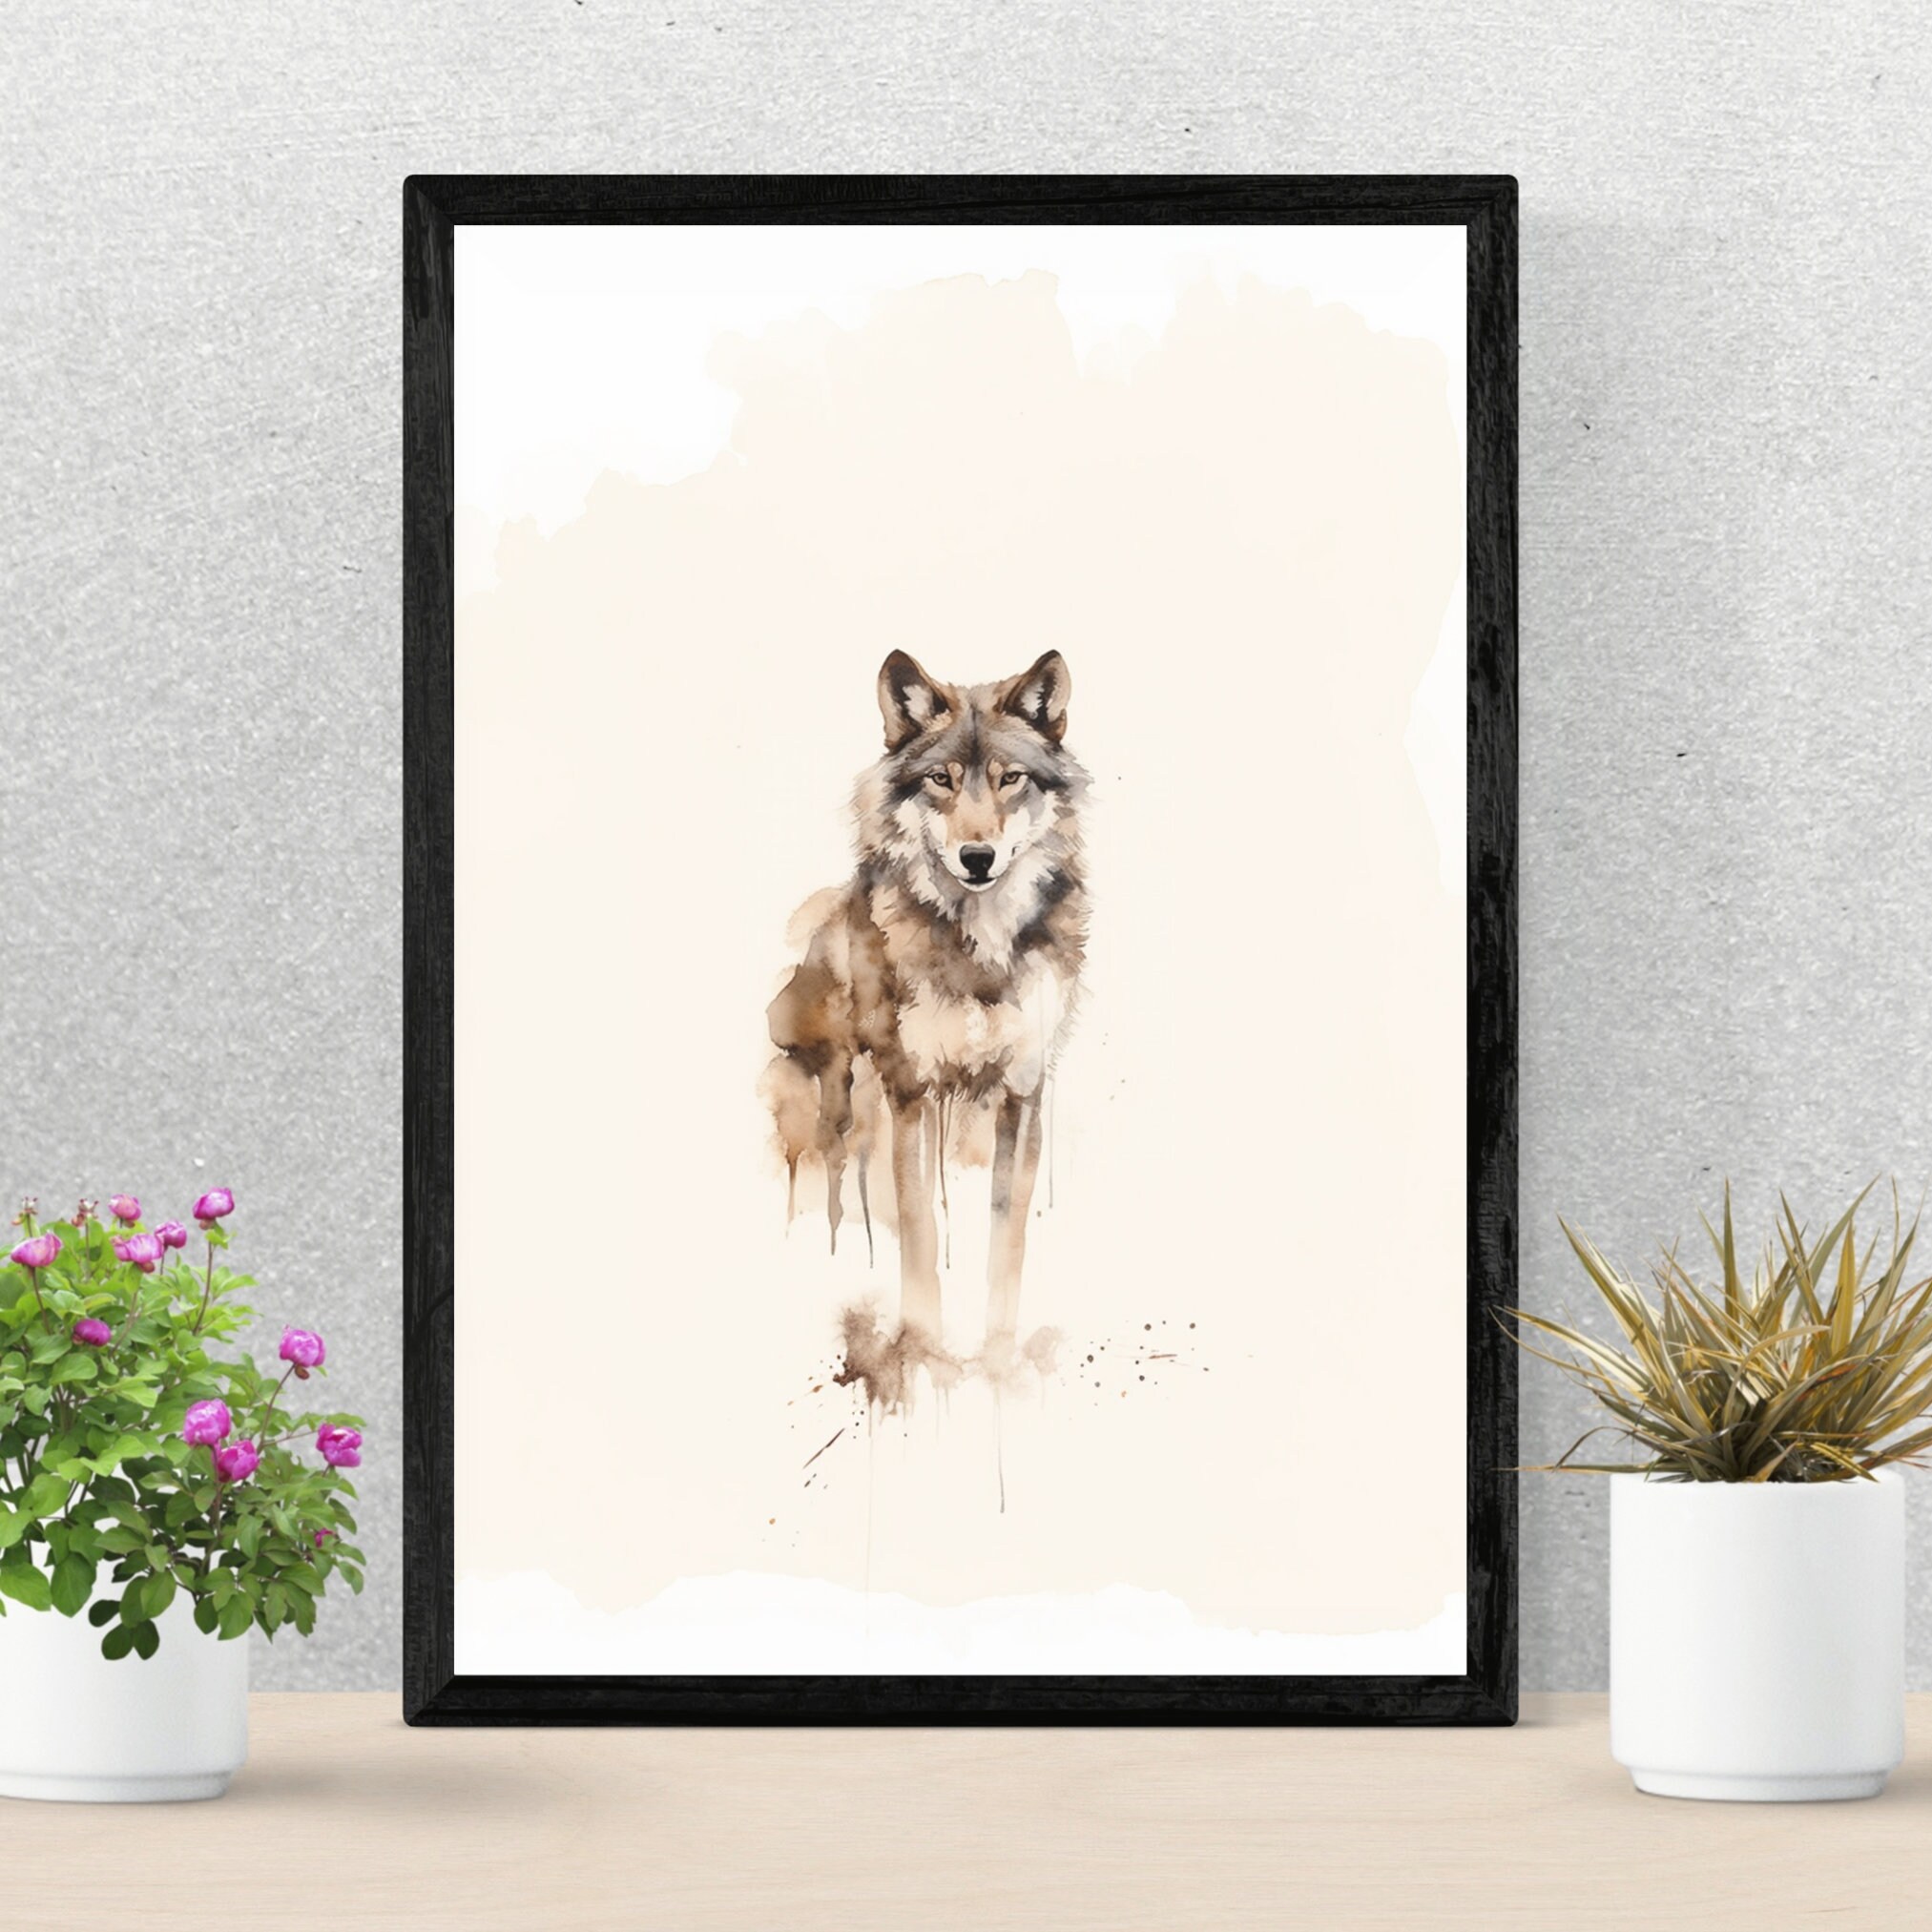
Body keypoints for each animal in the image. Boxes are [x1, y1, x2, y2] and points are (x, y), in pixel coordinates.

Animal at [764, 649, 1089, 1355]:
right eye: (942, 779)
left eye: (1010, 779)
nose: (977, 857)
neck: (978, 948)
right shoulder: (910, 1091)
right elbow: (918, 1235)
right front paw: (925, 1351)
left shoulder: (1022, 1095)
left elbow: (1005, 1241)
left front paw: (995, 1358)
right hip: (831, 1105)